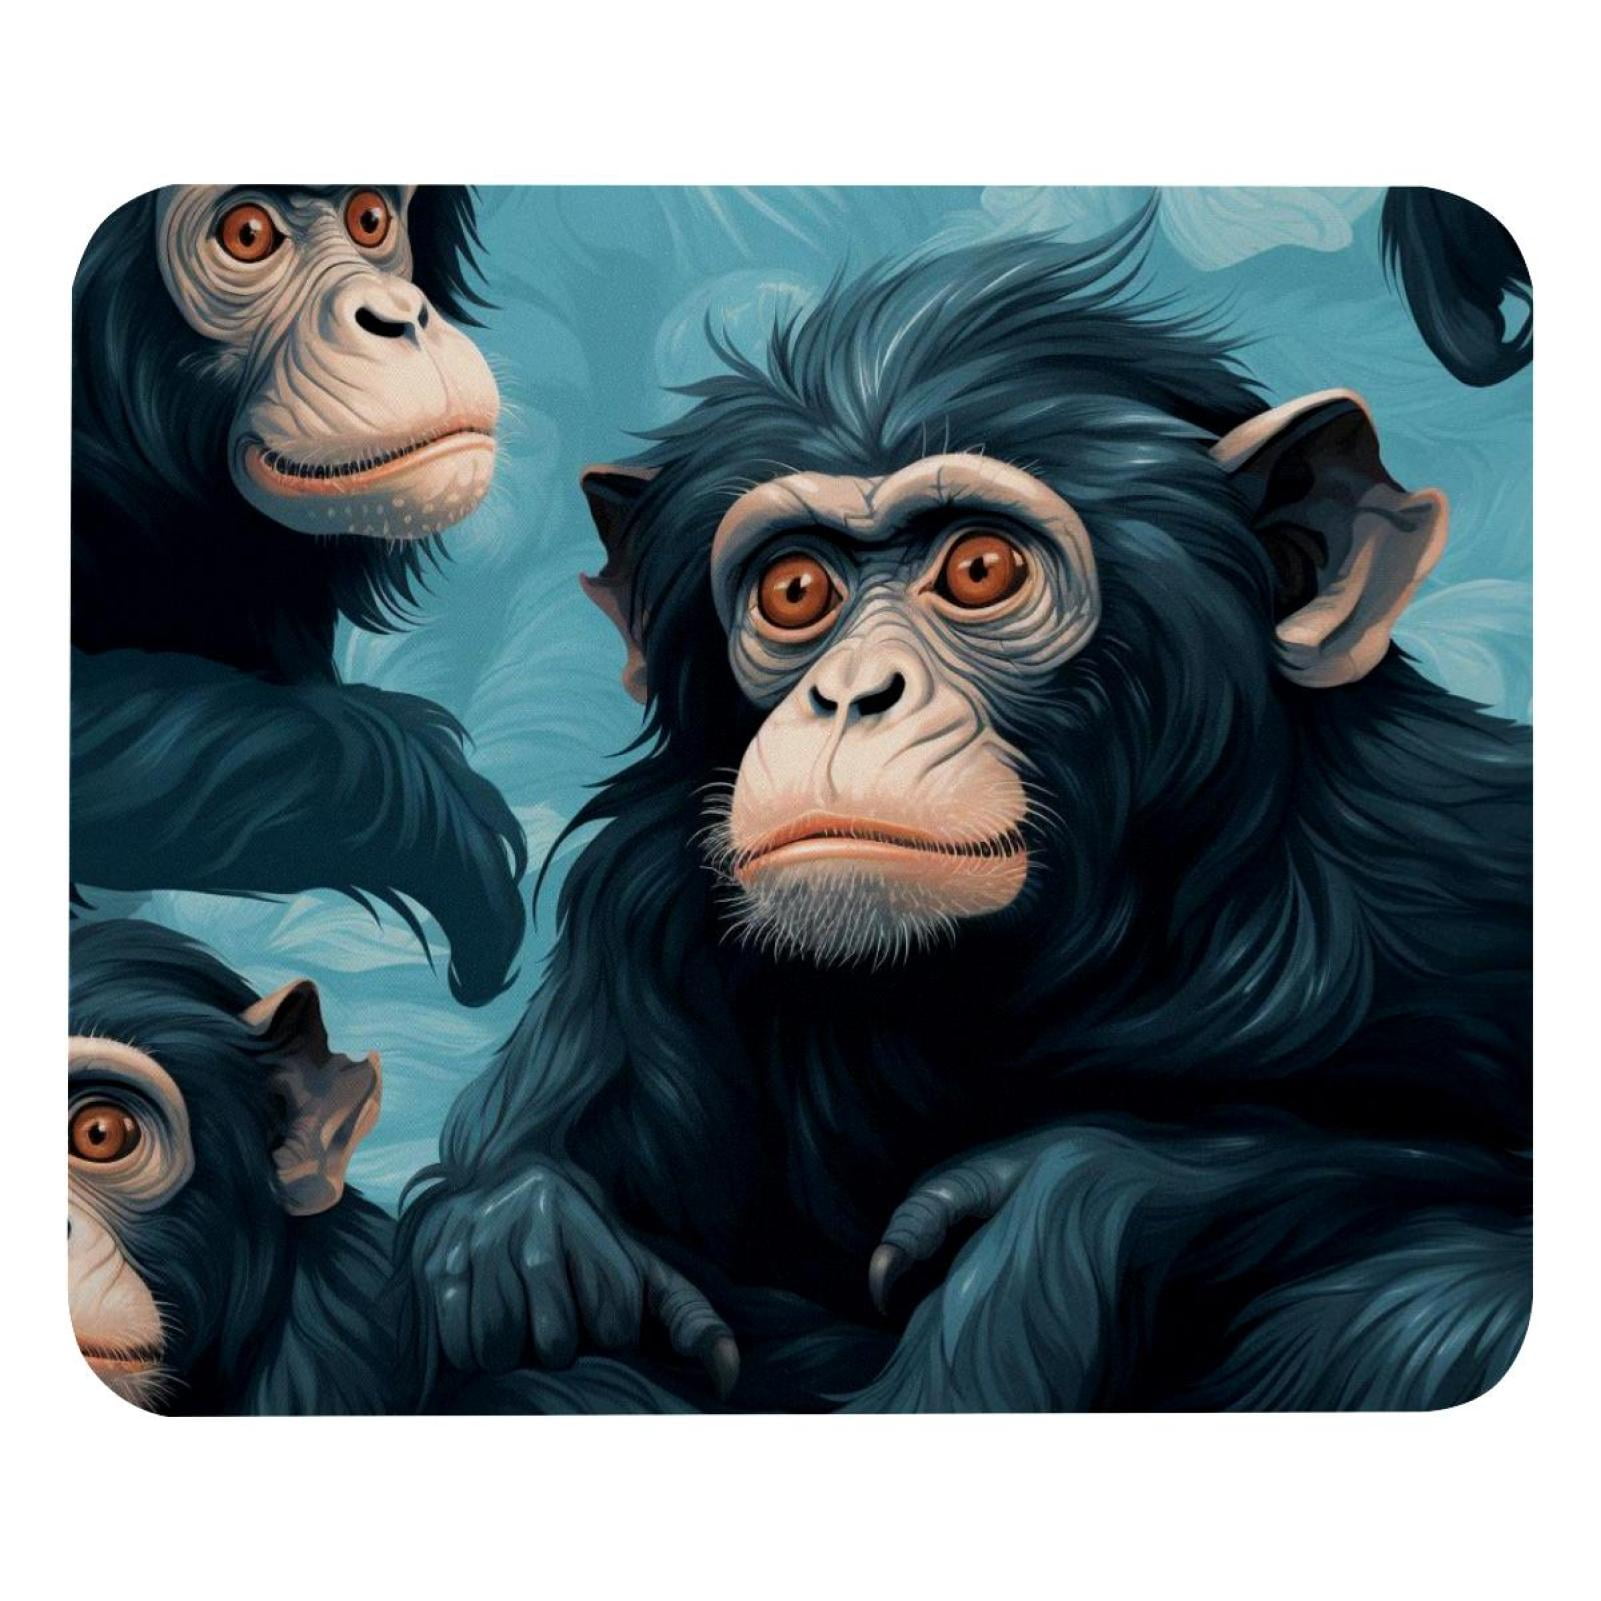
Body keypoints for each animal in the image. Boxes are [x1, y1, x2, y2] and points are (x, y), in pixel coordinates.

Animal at [400, 225, 1530, 1411]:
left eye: (980, 568)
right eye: (795, 590)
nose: (852, 692)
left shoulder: (1456, 853)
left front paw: (1053, 1213)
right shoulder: (639, 907)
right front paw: (522, 1236)